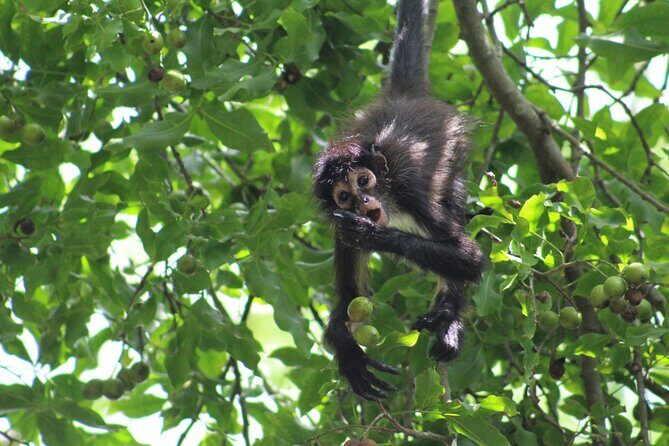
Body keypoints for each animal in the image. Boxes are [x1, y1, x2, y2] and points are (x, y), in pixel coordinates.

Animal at [312, 0, 484, 400]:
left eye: (364, 181)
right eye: (344, 196)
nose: (362, 201)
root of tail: (403, 96)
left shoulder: (409, 193)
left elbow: (471, 259)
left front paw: (373, 236)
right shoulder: (337, 226)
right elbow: (349, 298)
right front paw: (345, 346)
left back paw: (450, 319)